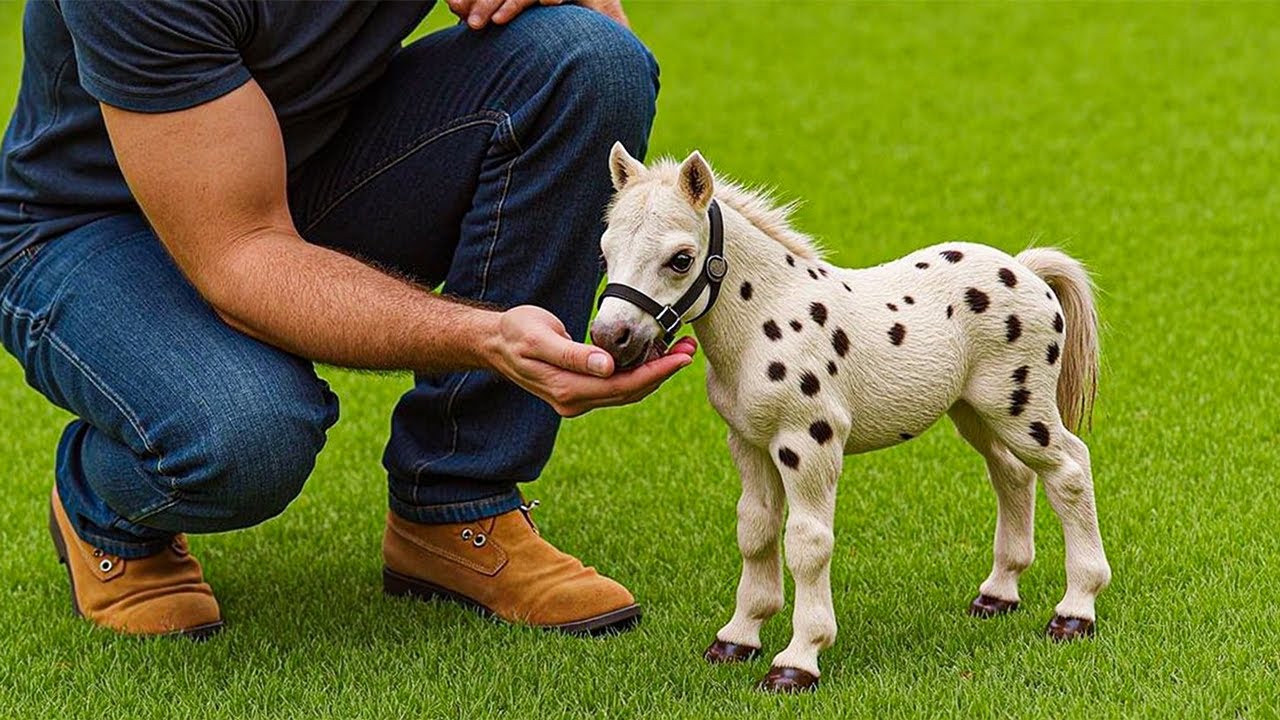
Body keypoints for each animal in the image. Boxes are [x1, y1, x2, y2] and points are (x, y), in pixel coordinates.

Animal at [590, 143, 1111, 692]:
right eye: (604, 252)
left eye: (681, 259)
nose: (610, 339)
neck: (763, 321)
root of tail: (1025, 268)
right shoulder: (748, 443)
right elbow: (755, 531)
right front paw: (738, 637)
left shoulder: (809, 443)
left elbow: (807, 543)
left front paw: (798, 659)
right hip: (975, 413)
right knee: (1012, 475)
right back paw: (998, 594)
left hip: (1019, 407)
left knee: (1069, 470)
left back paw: (1075, 612)